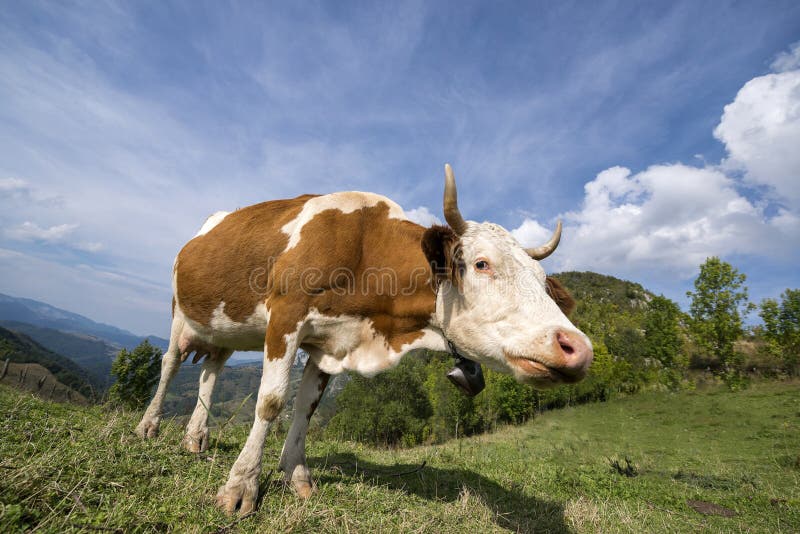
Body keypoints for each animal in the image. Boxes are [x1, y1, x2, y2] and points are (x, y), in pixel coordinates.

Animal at [135, 164, 593, 515]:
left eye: (543, 282)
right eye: (482, 264)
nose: (578, 348)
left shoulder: (330, 344)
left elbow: (305, 408)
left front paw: (297, 476)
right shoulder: (286, 315)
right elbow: (271, 402)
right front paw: (241, 485)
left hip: (222, 326)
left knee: (211, 371)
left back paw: (195, 438)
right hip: (179, 312)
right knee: (169, 365)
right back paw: (148, 426)